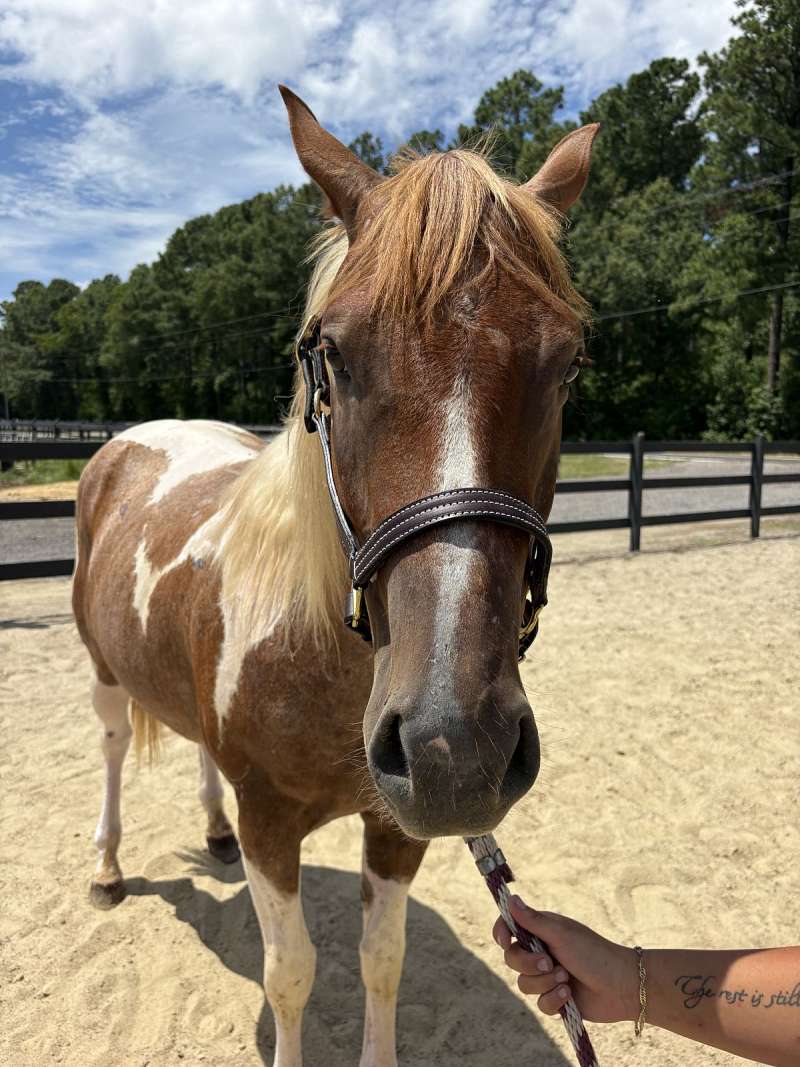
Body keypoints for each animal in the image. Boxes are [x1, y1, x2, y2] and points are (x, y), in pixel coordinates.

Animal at [72, 85, 598, 1067]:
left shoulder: (395, 825)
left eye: (568, 360)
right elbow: (292, 975)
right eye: (337, 353)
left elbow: (381, 959)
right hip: (101, 670)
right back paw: (108, 866)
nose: (455, 745)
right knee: (117, 747)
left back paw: (208, 831)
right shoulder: (273, 823)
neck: (317, 653)